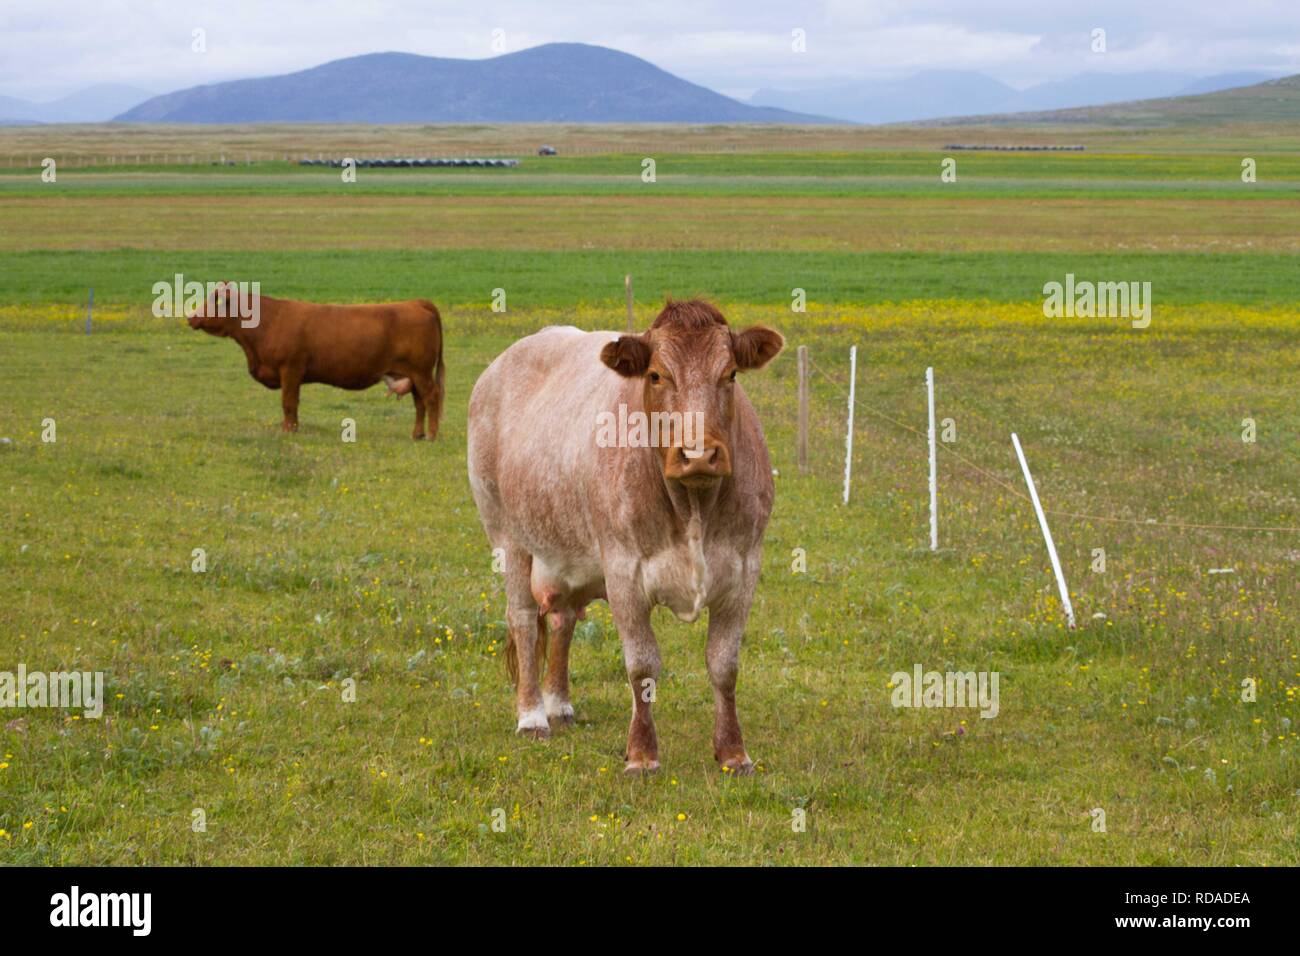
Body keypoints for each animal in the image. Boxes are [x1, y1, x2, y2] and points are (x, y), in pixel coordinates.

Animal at [187, 282, 445, 439]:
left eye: (215, 301)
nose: (191, 317)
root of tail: (415, 303)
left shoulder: (290, 369)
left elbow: (289, 403)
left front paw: (288, 430)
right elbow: (292, 404)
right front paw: (293, 428)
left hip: (421, 372)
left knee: (431, 398)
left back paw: (432, 435)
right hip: (412, 374)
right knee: (419, 402)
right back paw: (417, 434)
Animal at [467, 299, 784, 774]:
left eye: (730, 374)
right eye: (655, 375)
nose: (698, 455)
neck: (693, 506)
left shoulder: (744, 569)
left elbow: (724, 664)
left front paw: (733, 752)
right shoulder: (624, 571)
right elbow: (642, 665)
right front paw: (642, 754)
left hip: (568, 552)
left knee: (561, 620)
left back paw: (559, 705)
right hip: (507, 536)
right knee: (523, 620)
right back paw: (533, 716)